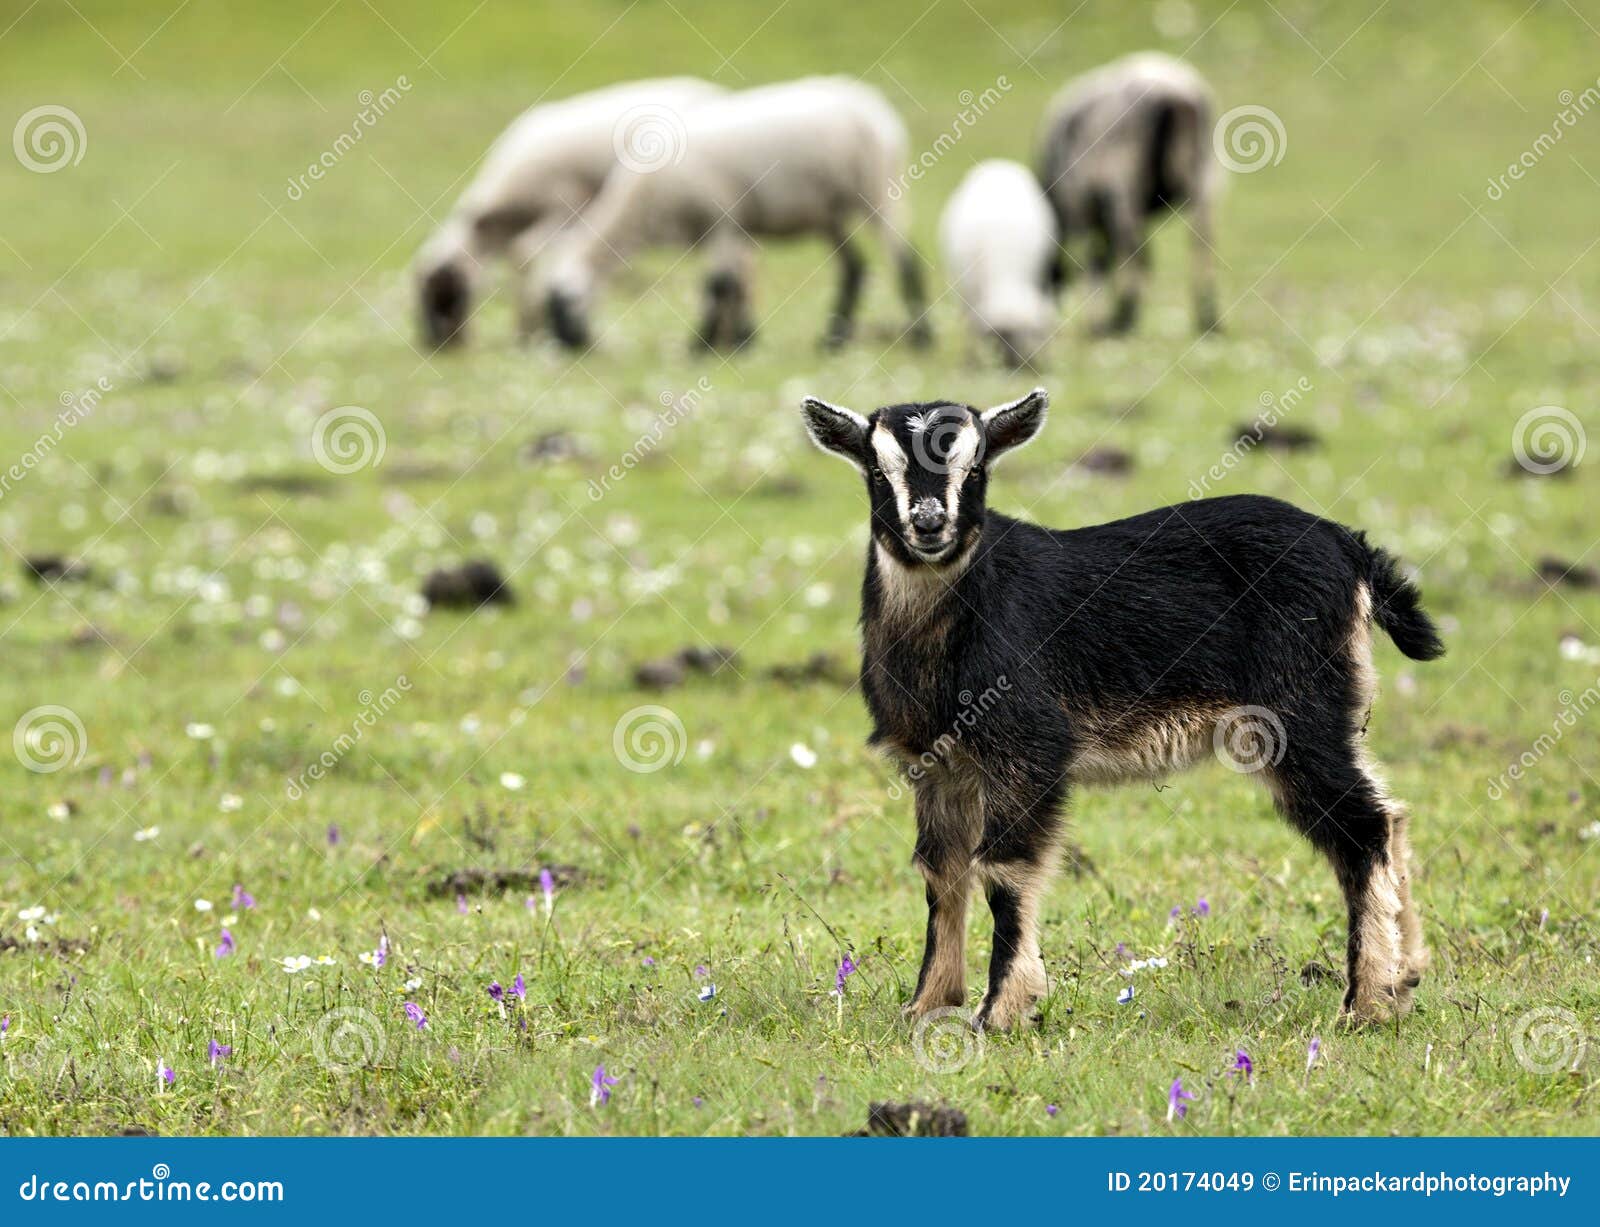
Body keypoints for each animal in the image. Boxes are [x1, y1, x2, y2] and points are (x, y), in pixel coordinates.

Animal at [541, 77, 932, 353]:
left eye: (562, 304)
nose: (568, 347)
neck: (645, 206)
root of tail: (876, 106)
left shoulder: (722, 220)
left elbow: (718, 285)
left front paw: (701, 345)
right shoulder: (724, 228)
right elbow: (731, 285)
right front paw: (733, 342)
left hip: (879, 189)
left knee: (904, 258)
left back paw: (923, 339)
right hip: (829, 213)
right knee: (854, 268)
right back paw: (833, 339)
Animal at [800, 387, 1442, 1031]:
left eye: (976, 469)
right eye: (877, 471)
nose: (930, 524)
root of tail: (1348, 545)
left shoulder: (1026, 745)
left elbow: (1003, 868)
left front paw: (999, 1012)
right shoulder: (938, 766)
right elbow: (942, 871)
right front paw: (926, 1005)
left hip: (1299, 713)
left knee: (1361, 827)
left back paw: (1365, 1003)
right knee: (1387, 814)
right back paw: (1406, 975)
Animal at [939, 159, 1059, 368]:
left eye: (1025, 335)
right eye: (1001, 336)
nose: (1013, 364)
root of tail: (998, 163)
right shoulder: (969, 296)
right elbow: (971, 329)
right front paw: (972, 361)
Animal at [1037, 52, 1220, 335]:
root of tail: (1173, 95)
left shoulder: (1079, 203)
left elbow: (1092, 261)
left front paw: (1095, 323)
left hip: (1124, 184)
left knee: (1132, 247)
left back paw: (1123, 320)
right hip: (1201, 179)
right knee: (1201, 242)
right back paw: (1209, 319)